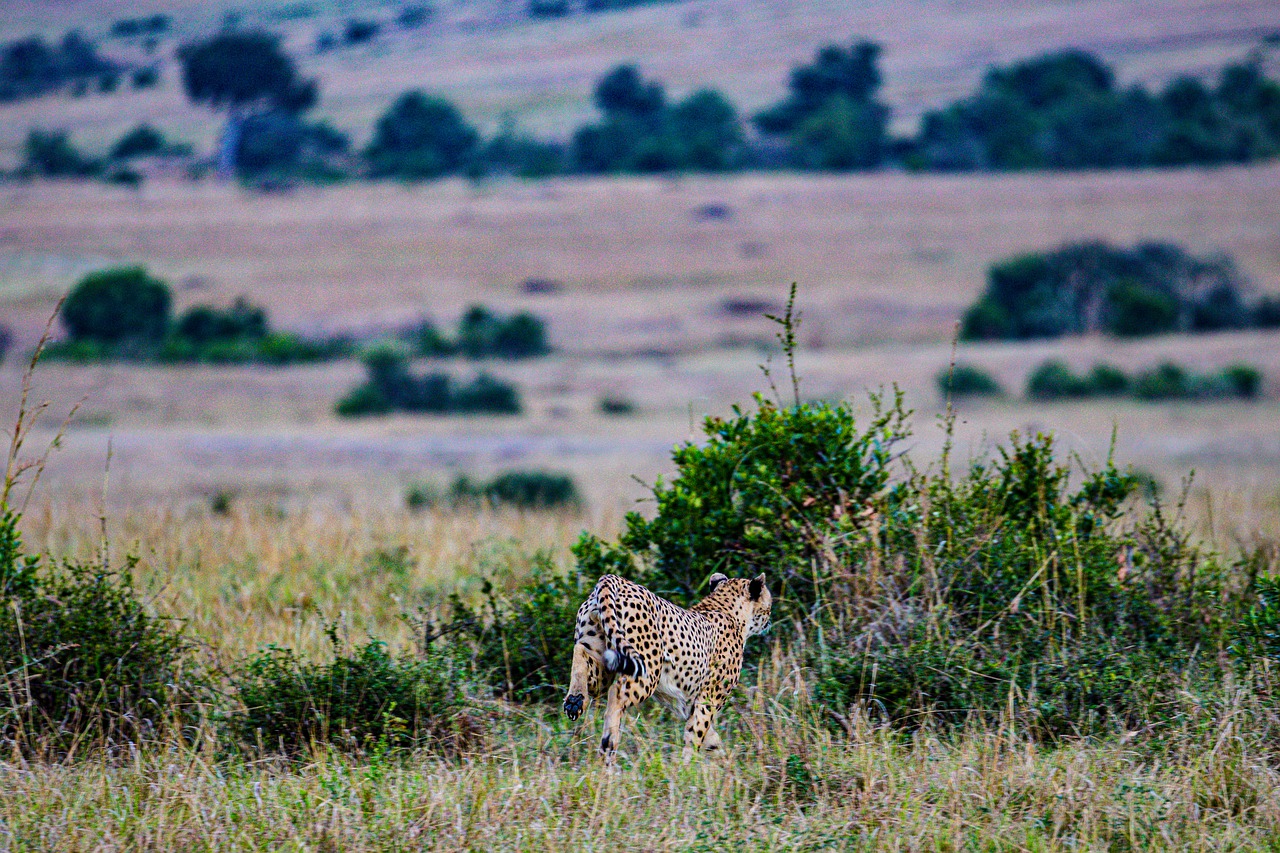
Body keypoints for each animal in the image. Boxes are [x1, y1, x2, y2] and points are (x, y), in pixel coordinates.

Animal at [562, 571, 772, 765]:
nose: (770, 620)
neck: (727, 610)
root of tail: (617, 579)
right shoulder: (708, 698)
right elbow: (696, 733)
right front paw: (687, 769)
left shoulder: (688, 702)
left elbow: (709, 738)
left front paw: (721, 764)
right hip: (647, 670)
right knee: (617, 693)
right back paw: (608, 745)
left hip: (605, 663)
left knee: (581, 651)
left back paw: (575, 701)